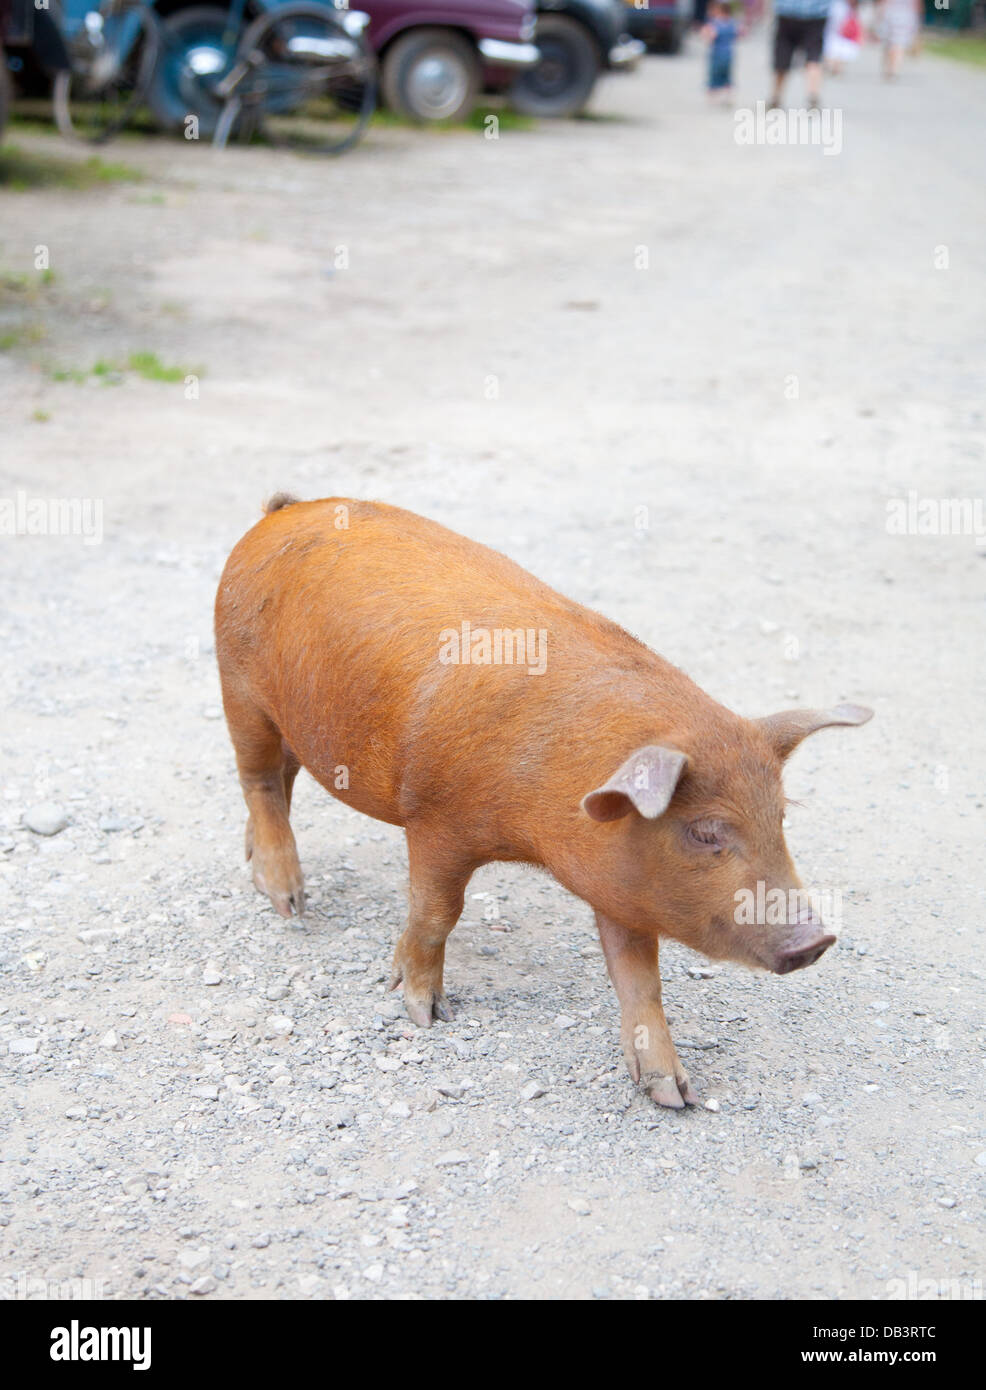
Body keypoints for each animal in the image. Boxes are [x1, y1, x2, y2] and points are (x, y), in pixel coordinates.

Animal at [214, 495, 872, 1109]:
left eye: (780, 818)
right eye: (706, 832)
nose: (816, 939)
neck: (540, 822)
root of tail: (285, 511)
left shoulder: (620, 878)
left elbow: (639, 976)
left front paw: (675, 1095)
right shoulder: (435, 821)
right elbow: (435, 914)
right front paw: (424, 1012)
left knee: (285, 774)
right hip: (237, 686)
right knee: (259, 778)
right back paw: (288, 902)